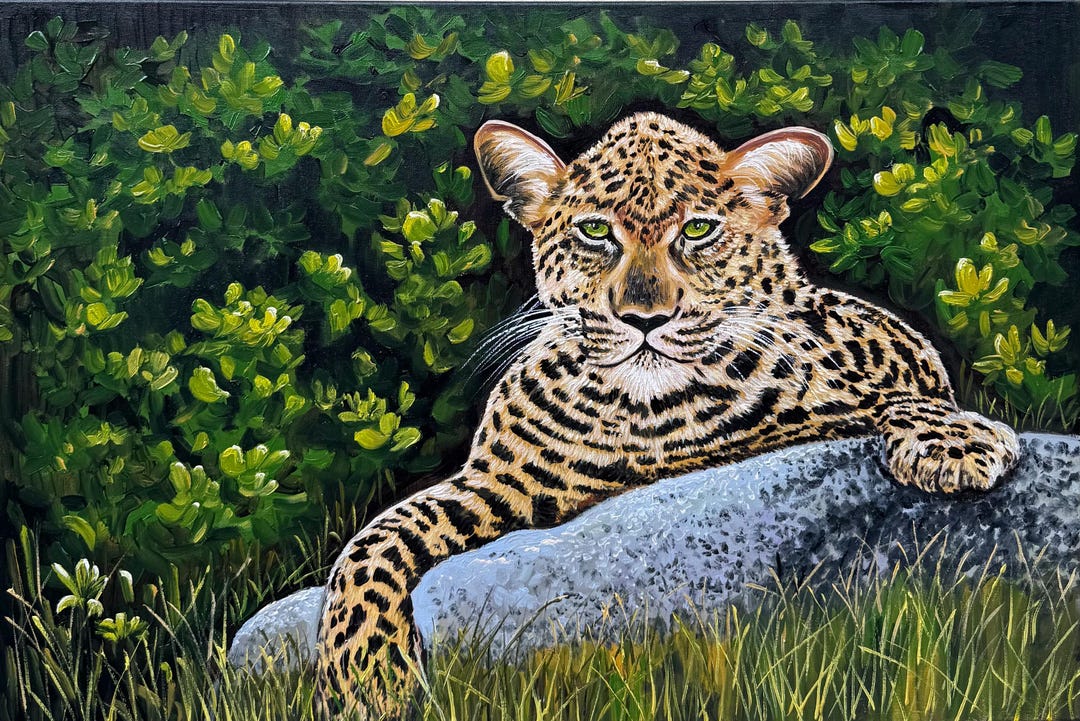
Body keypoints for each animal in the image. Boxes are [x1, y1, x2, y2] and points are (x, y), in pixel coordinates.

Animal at [315, 112, 1020, 718]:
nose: (644, 318)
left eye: (699, 231)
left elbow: (885, 395)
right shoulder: (499, 484)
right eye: (595, 232)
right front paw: (364, 683)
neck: (646, 415)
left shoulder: (879, 354)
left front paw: (957, 444)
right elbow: (374, 539)